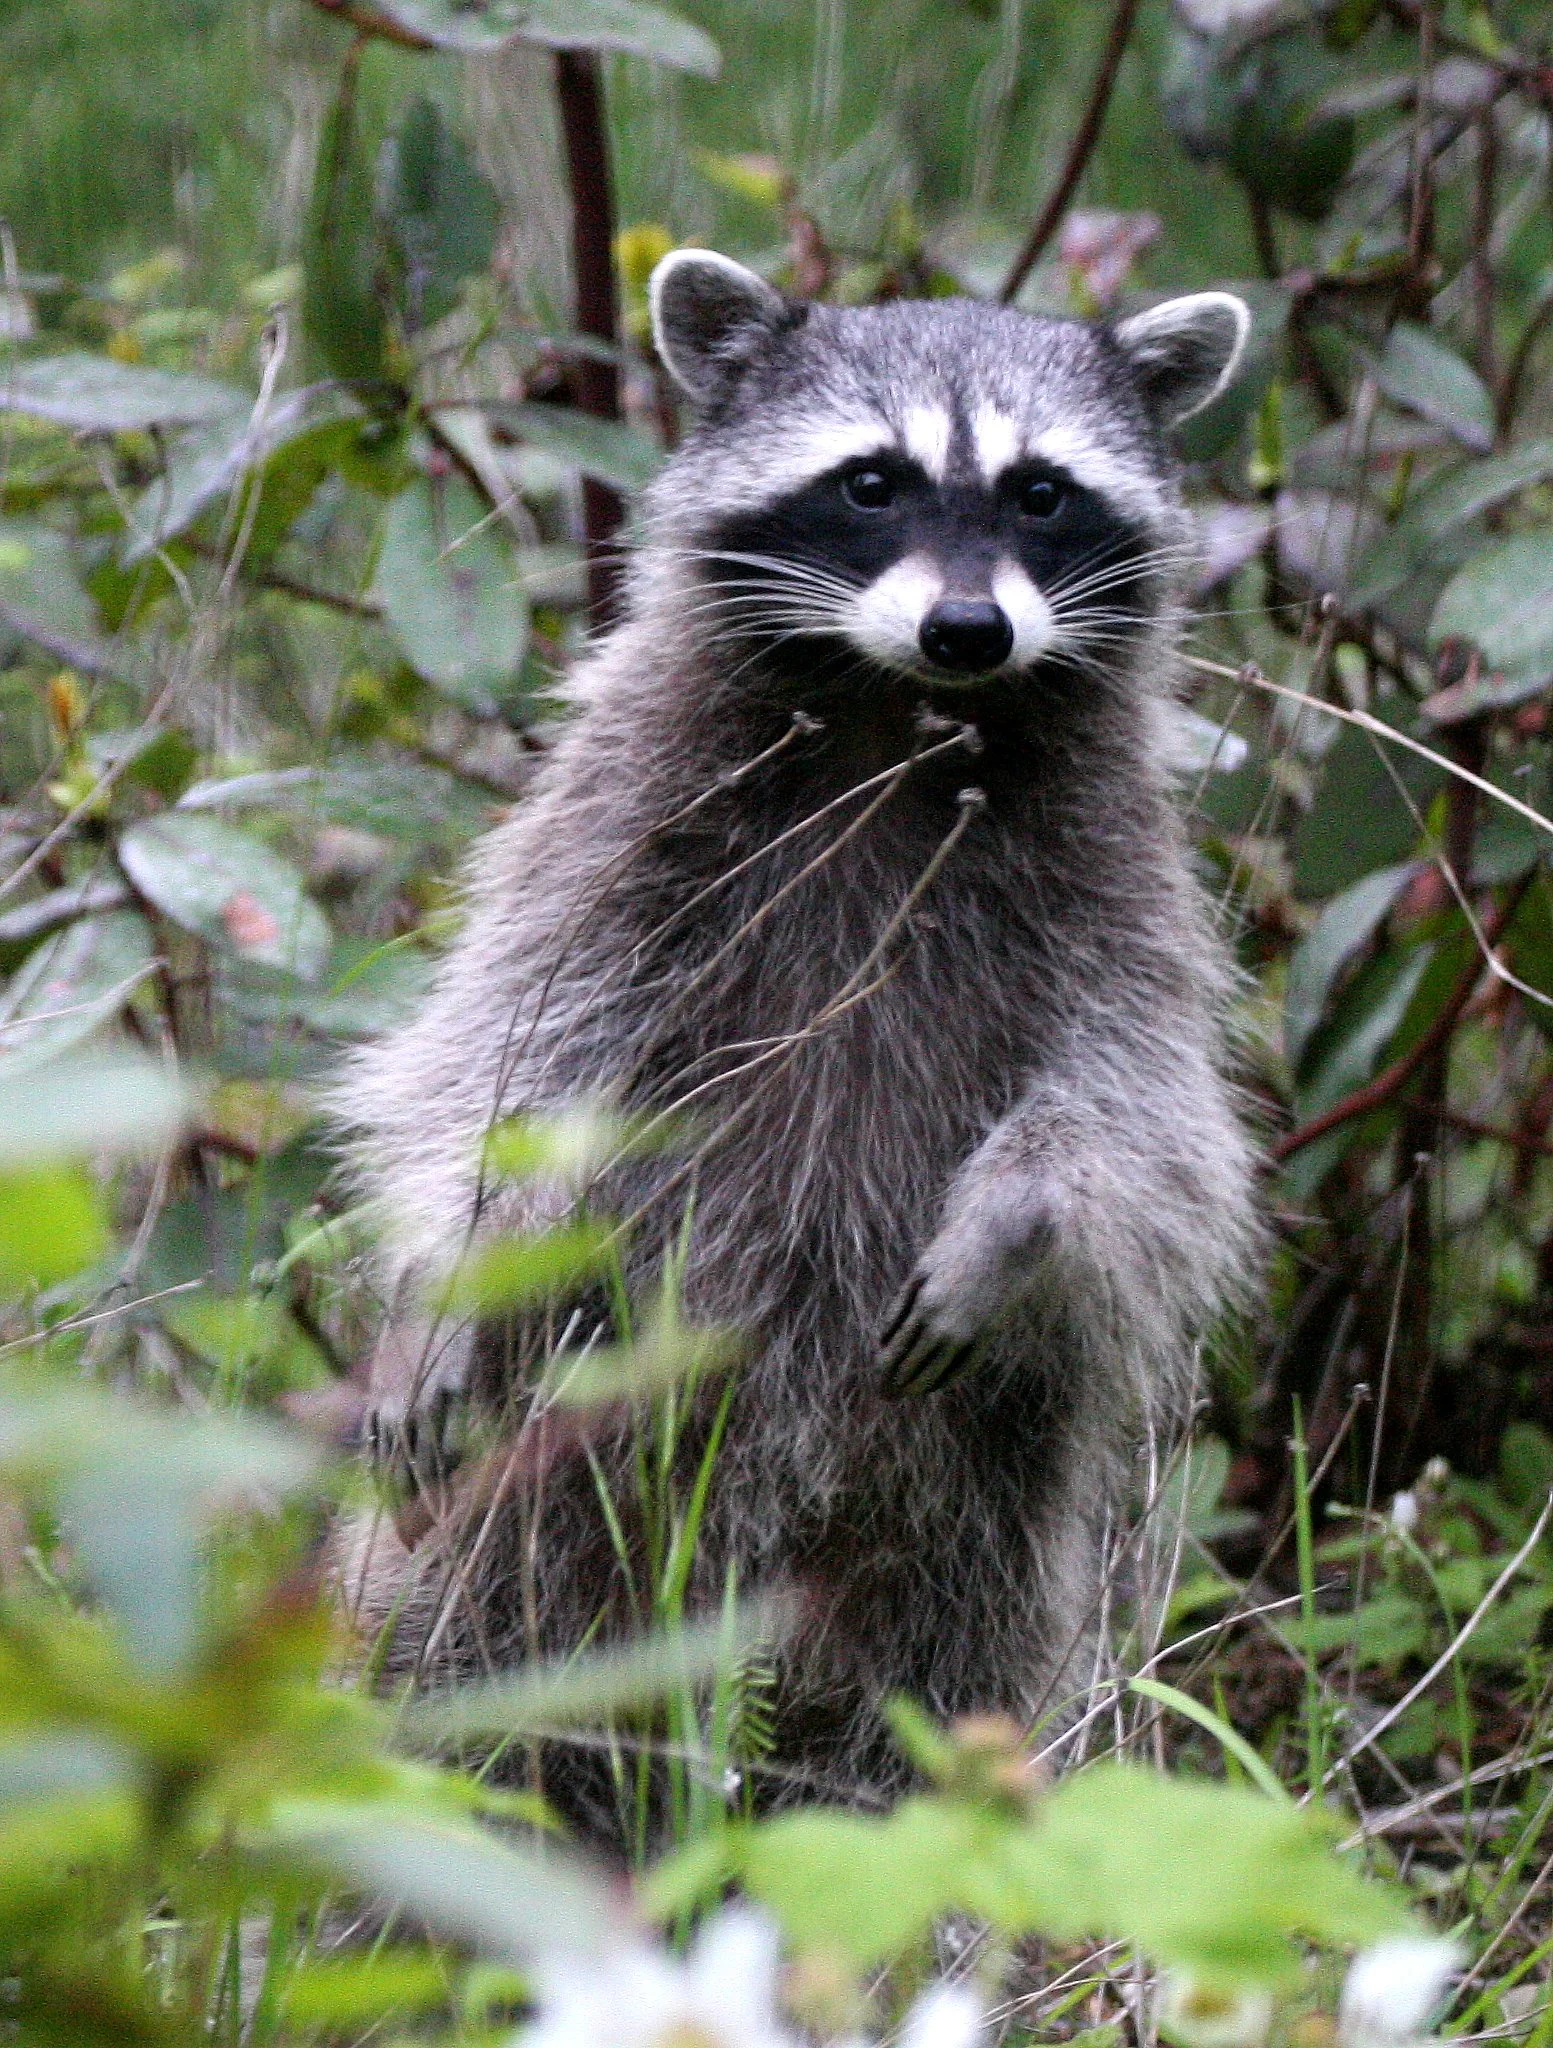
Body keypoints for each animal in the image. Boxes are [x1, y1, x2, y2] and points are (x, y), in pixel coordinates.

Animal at [333, 252, 1260, 1836]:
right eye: (871, 482)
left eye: (1040, 494)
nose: (969, 628)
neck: (909, 712)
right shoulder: (619, 826)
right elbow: (503, 1059)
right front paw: (442, 1271)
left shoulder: (1122, 880)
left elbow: (1136, 1115)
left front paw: (1019, 1219)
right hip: (586, 1400)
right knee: (486, 1635)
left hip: (984, 1465)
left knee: (934, 1672)